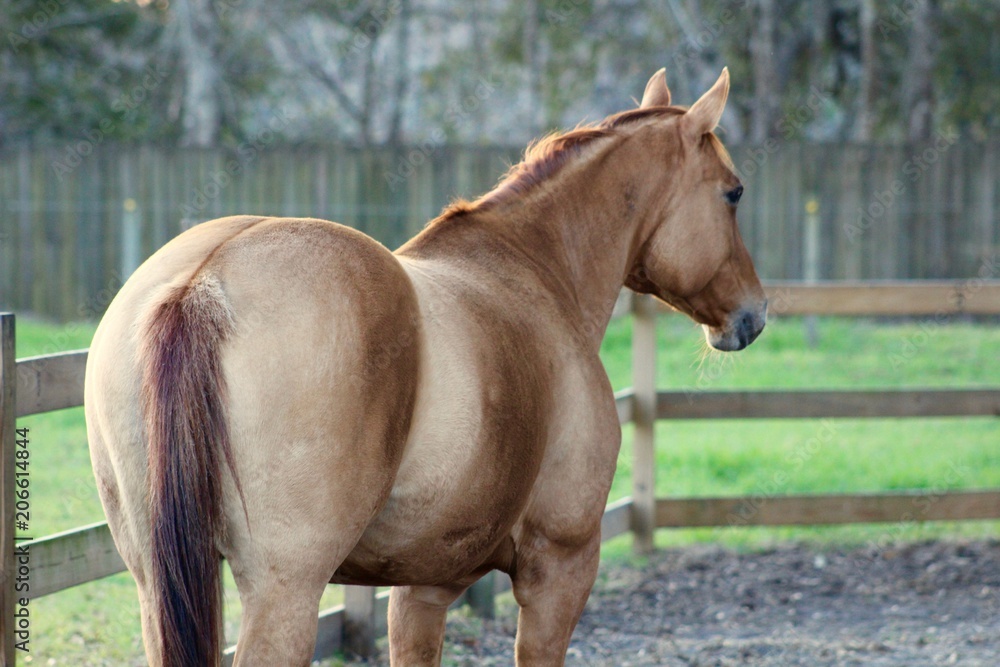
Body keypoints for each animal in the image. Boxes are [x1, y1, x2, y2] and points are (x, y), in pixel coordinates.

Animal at [85, 67, 766, 666]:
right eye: (732, 192)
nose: (753, 313)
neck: (534, 272)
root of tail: (205, 280)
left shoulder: (423, 588)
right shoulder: (559, 568)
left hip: (156, 586)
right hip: (284, 590)